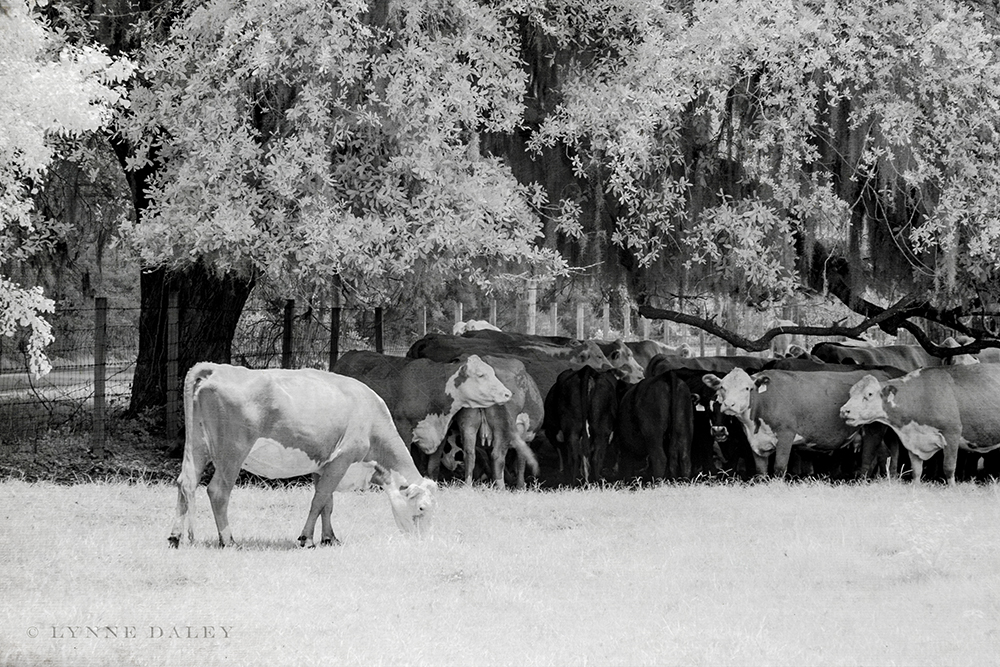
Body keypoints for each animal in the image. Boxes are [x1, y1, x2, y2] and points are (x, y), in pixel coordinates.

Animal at [168, 363, 438, 549]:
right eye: (422, 508)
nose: (423, 541)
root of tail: (218, 368)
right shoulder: (342, 459)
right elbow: (319, 501)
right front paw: (306, 538)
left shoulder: (324, 465)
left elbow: (328, 503)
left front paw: (329, 538)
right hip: (231, 453)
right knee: (217, 492)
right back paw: (229, 540)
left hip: (197, 446)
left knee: (185, 482)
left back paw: (175, 537)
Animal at [703, 367, 903, 478]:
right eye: (723, 387)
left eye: (747, 388)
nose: (729, 404)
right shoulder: (756, 442)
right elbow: (761, 471)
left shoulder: (786, 434)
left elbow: (779, 467)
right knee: (884, 455)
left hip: (873, 430)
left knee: (868, 459)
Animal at [839, 364, 1000, 484]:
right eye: (850, 393)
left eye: (870, 394)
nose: (844, 410)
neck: (921, 396)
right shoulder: (913, 439)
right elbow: (916, 471)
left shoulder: (952, 433)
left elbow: (948, 467)